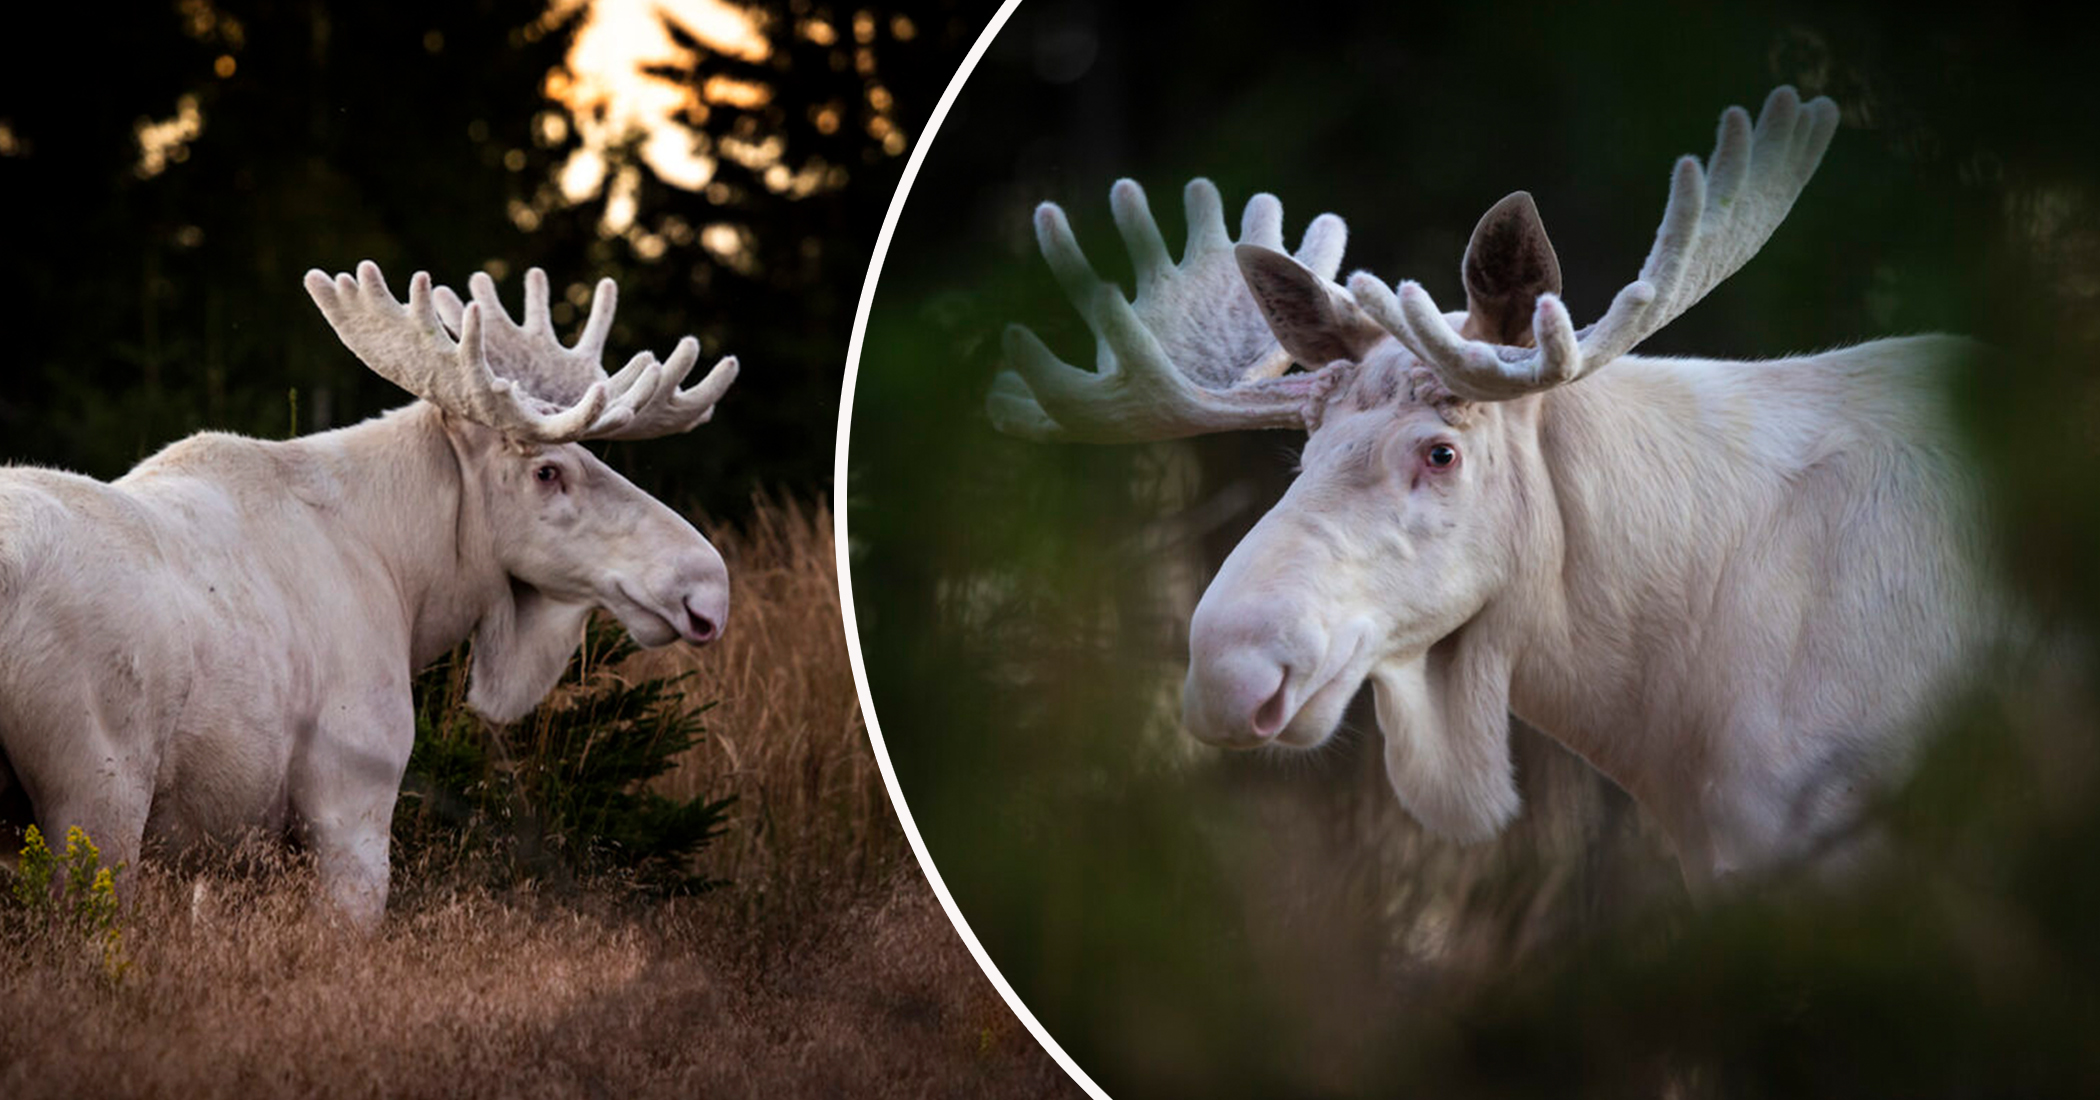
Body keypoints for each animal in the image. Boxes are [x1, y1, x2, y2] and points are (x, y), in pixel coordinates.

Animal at [0, 262, 738, 928]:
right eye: (548, 471)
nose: (707, 584)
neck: (408, 579)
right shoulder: (352, 796)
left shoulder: (223, 849)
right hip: (96, 793)